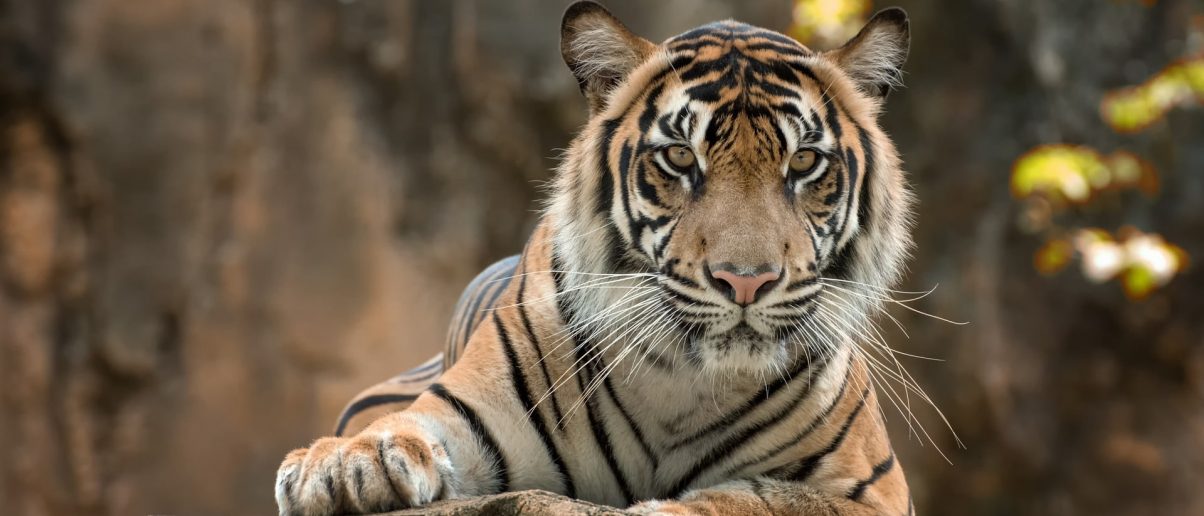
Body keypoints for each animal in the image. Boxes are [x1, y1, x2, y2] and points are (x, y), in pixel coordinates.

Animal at [276, 2, 917, 514]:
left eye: (804, 162)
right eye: (680, 157)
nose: (745, 282)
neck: (682, 383)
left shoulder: (870, 492)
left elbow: (753, 499)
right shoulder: (467, 411)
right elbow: (404, 425)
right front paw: (342, 465)